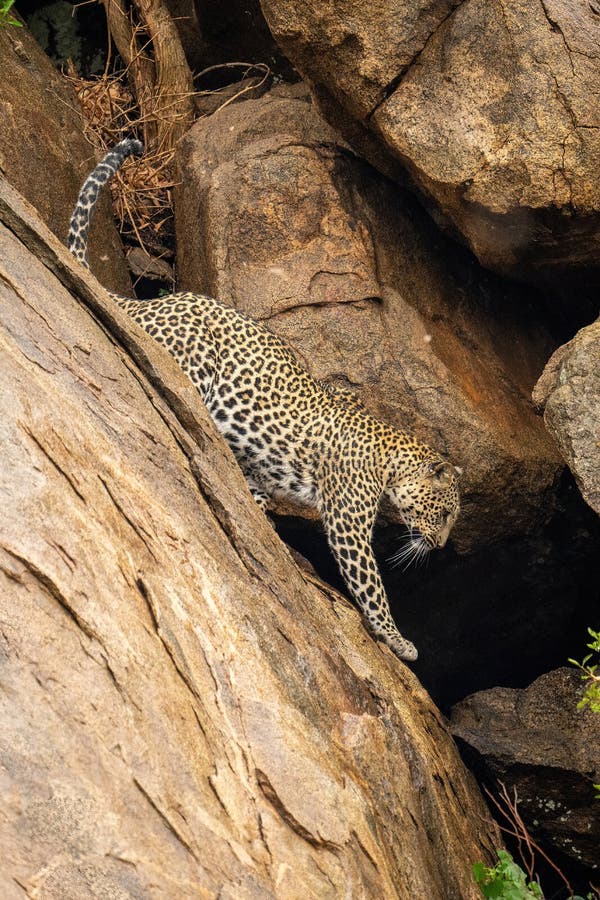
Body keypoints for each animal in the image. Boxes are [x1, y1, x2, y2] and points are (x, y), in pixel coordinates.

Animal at [68, 138, 461, 662]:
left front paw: (255, 498)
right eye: (444, 515)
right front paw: (398, 640)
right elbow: (370, 585)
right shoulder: (347, 520)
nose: (438, 548)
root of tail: (145, 302)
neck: (390, 459)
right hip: (196, 349)